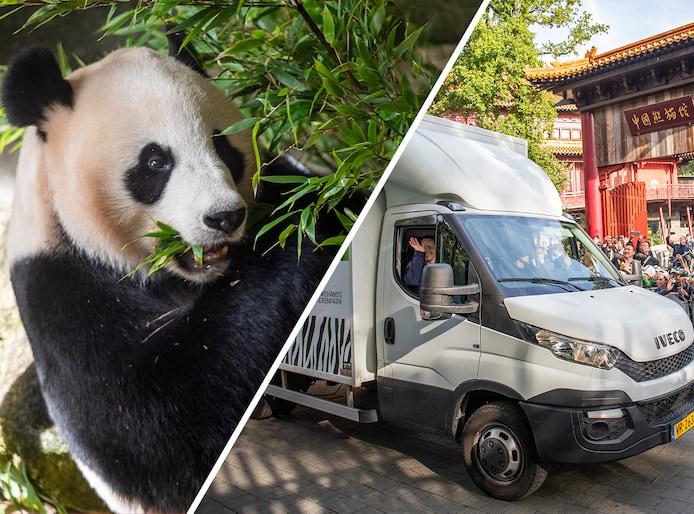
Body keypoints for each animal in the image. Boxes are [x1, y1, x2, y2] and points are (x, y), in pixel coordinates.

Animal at [1, 41, 337, 512]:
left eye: (222, 145)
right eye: (155, 161)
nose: (224, 217)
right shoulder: (61, 294)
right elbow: (165, 421)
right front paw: (300, 237)